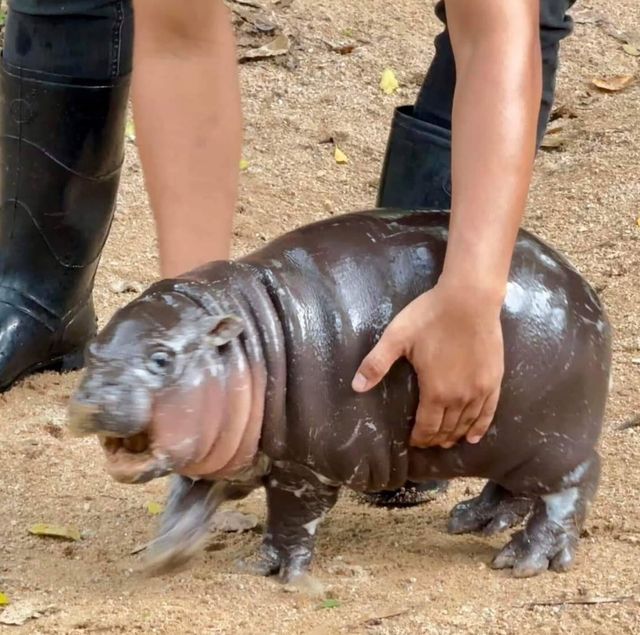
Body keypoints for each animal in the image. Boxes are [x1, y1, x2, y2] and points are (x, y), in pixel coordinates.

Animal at [67, 209, 611, 582]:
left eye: (161, 358)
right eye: (93, 349)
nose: (91, 401)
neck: (249, 344)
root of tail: (584, 290)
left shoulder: (305, 469)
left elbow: (290, 520)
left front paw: (270, 569)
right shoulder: (218, 457)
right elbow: (186, 501)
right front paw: (163, 556)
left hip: (553, 443)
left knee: (570, 487)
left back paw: (523, 560)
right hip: (509, 442)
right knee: (514, 488)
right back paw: (474, 521)